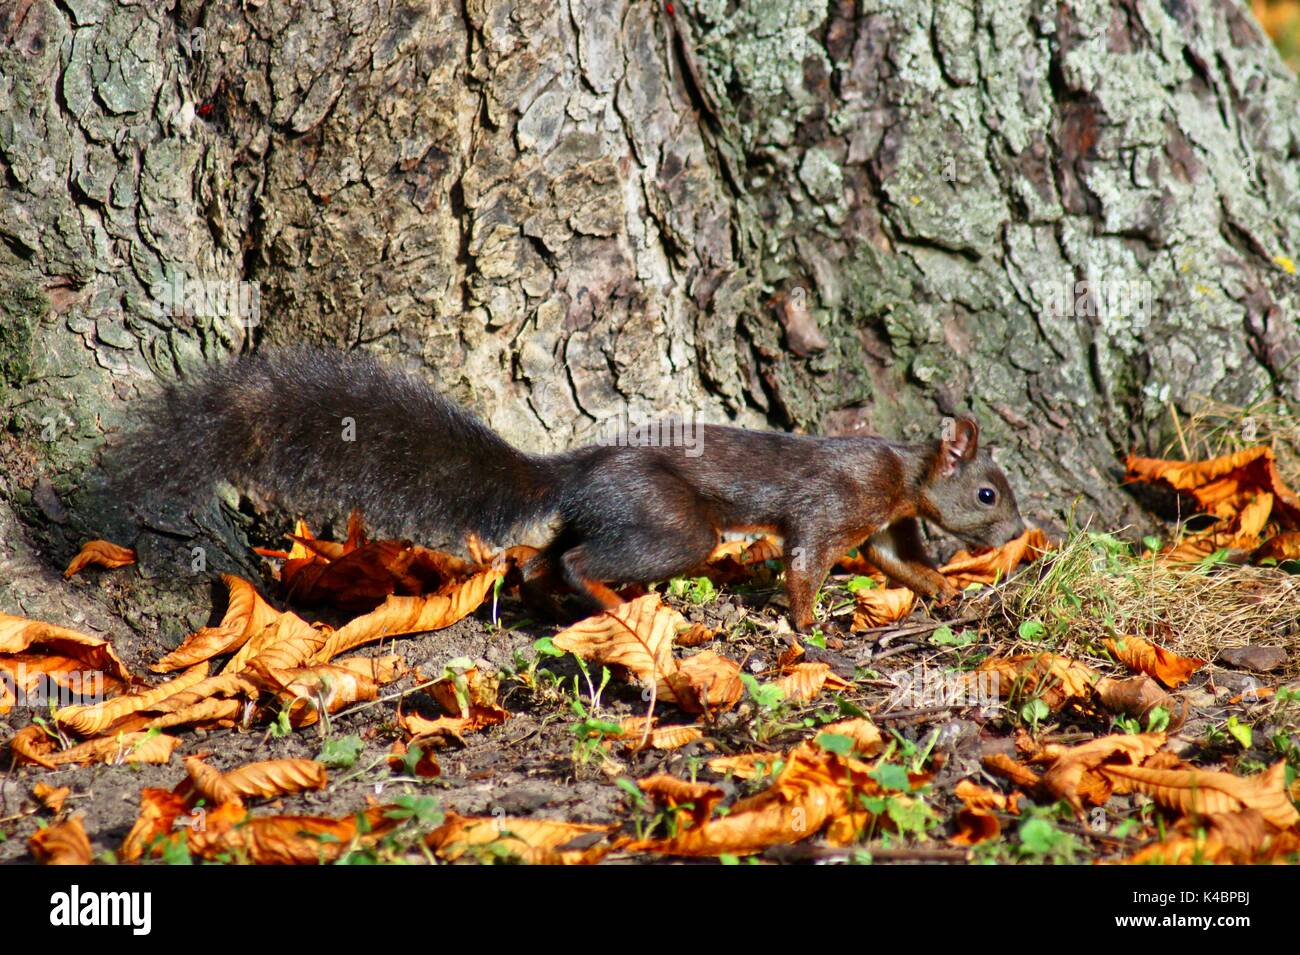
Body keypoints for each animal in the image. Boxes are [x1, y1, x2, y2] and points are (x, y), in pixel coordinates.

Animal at [108, 348, 1026, 631]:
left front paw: (946, 588)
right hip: (671, 526)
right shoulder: (832, 504)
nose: (1018, 533)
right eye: (988, 493)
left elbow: (899, 563)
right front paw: (808, 627)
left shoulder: (885, 524)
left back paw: (557, 604)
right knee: (589, 559)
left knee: (542, 562)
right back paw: (613, 607)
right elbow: (803, 563)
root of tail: (573, 470)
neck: (902, 475)